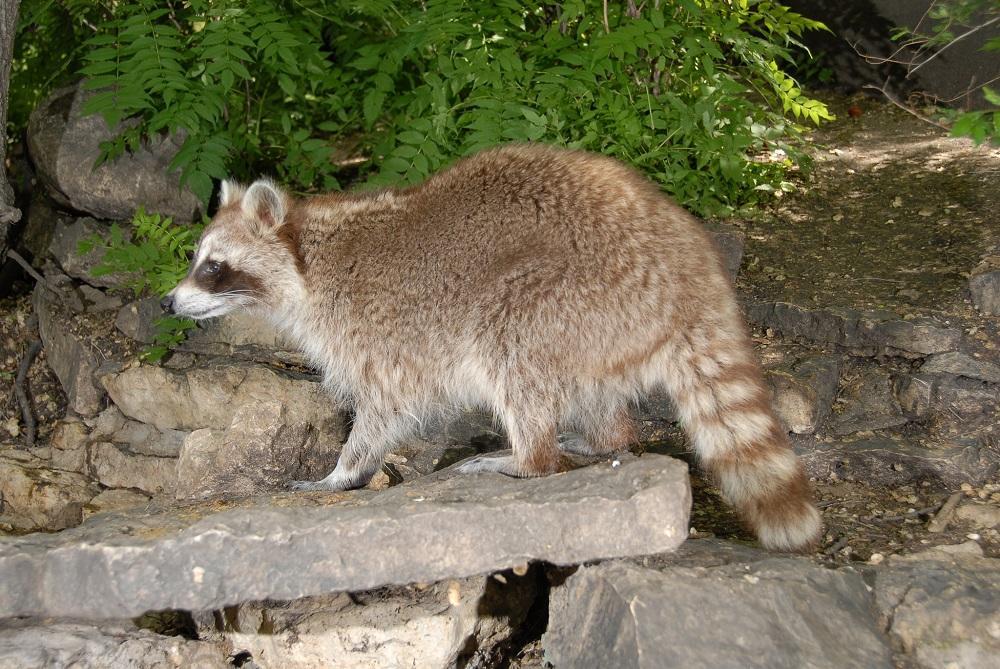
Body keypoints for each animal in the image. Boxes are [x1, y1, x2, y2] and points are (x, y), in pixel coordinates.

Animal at [163, 144, 821, 551]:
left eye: (214, 268)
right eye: (197, 261)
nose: (169, 303)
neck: (306, 255)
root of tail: (693, 269)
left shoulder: (375, 326)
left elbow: (385, 405)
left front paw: (344, 470)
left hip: (583, 290)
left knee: (511, 339)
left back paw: (529, 456)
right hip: (611, 321)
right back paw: (603, 438)